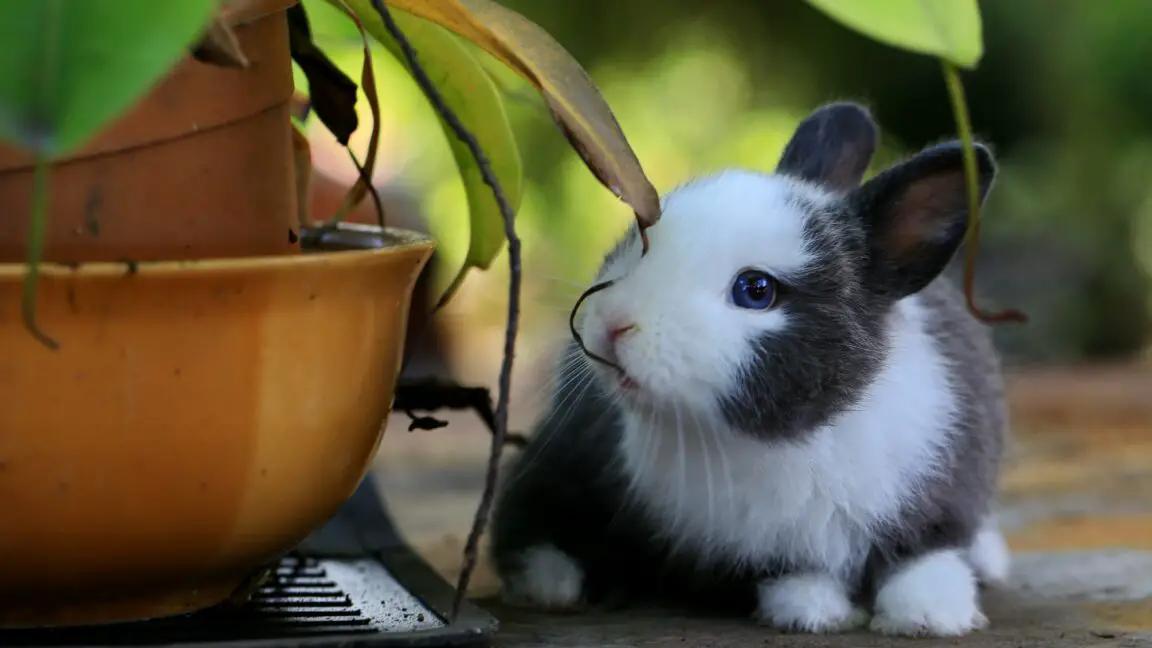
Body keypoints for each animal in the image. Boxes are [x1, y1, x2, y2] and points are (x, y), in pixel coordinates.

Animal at [488, 101, 1011, 638]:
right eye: (639, 238)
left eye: (756, 290)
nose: (612, 323)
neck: (795, 439)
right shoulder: (764, 551)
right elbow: (793, 575)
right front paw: (815, 613)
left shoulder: (940, 500)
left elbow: (924, 559)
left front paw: (929, 617)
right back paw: (551, 585)